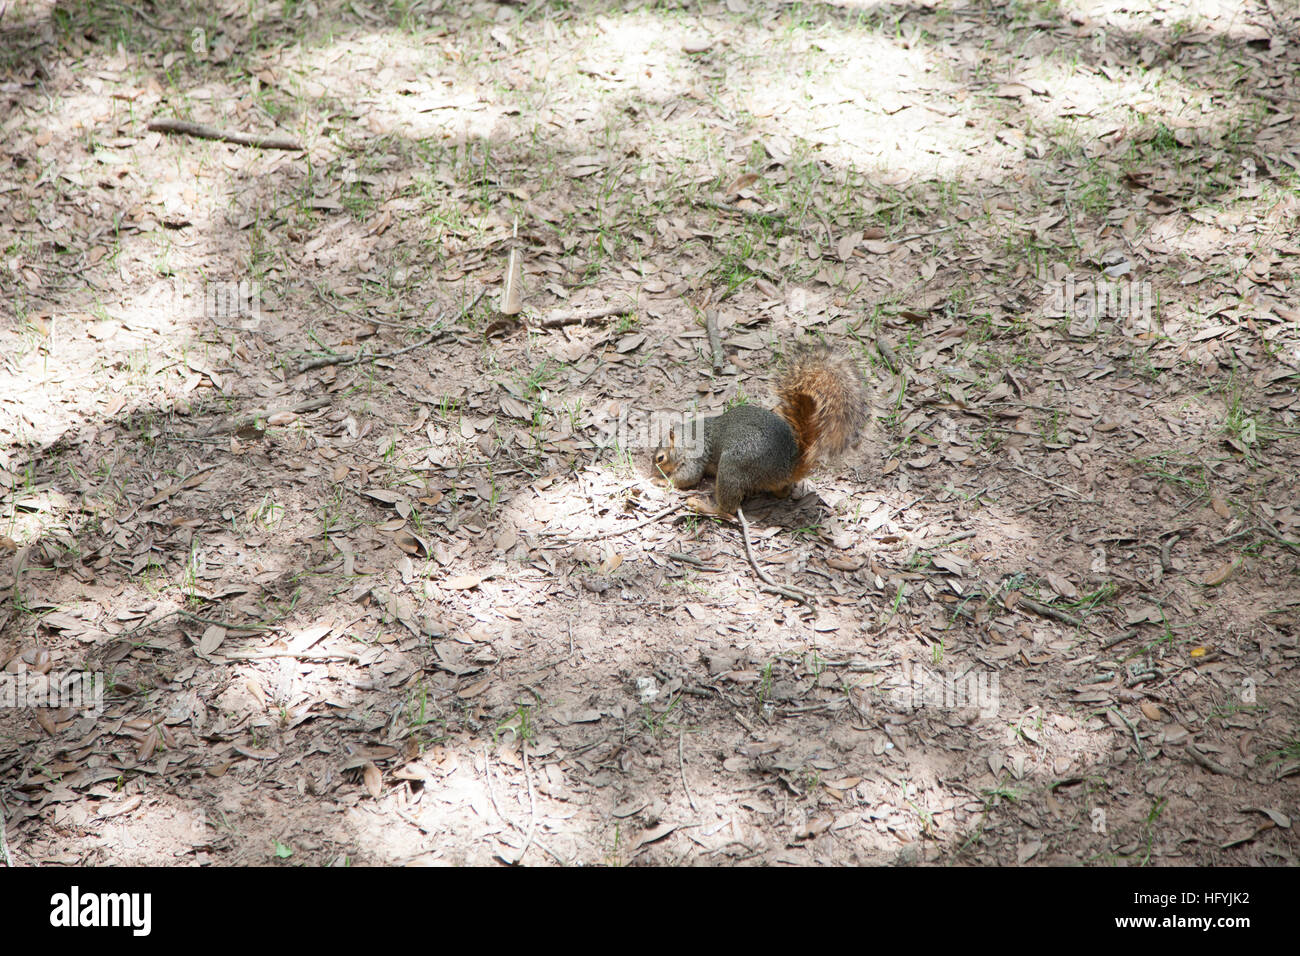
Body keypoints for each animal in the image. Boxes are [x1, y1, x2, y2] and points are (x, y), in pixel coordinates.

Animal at [653, 345, 868, 517]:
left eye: (660, 458)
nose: (653, 471)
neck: (687, 437)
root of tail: (788, 467)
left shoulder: (695, 456)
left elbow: (687, 477)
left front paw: (662, 481)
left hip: (733, 466)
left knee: (728, 510)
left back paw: (703, 506)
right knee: (781, 492)